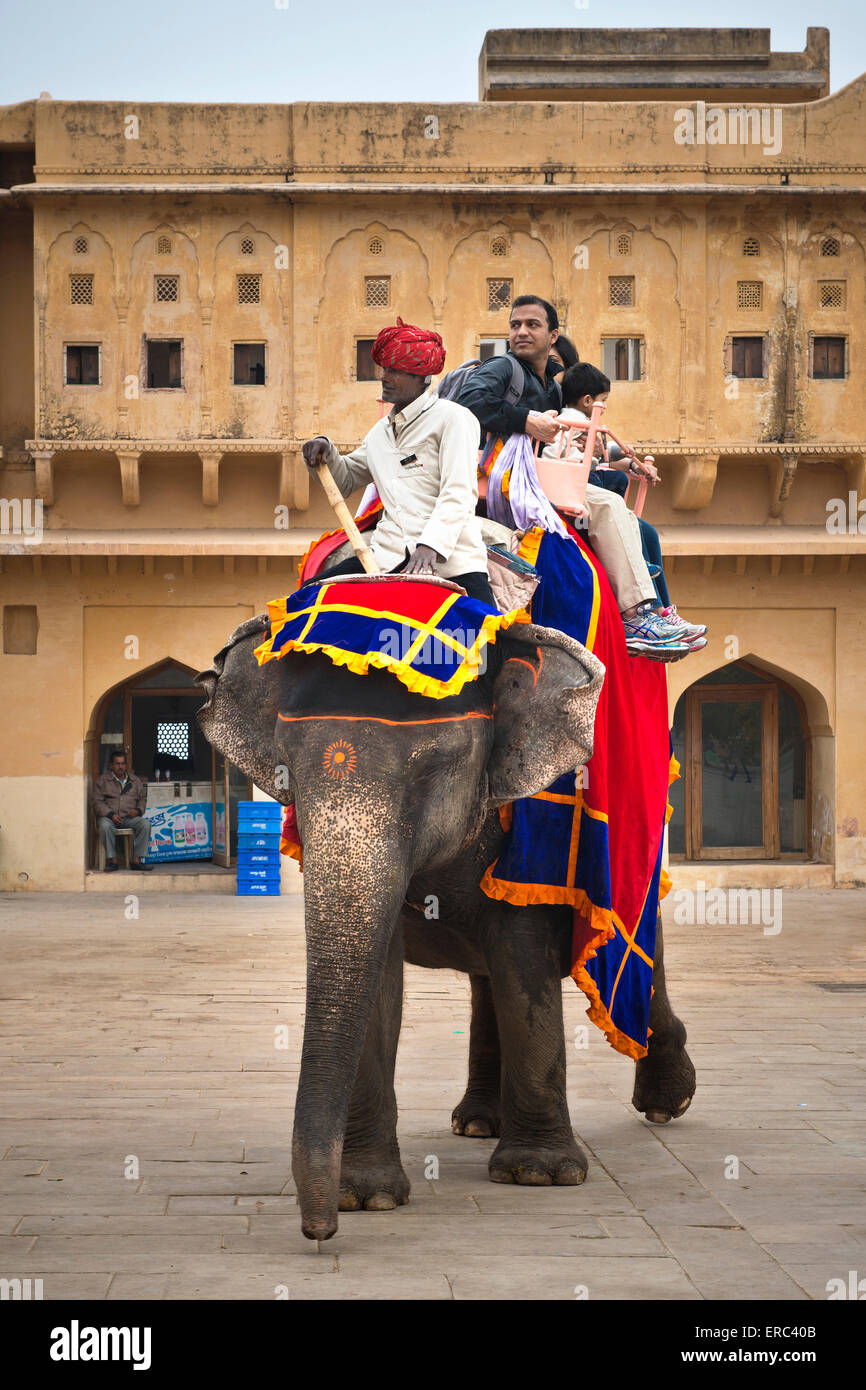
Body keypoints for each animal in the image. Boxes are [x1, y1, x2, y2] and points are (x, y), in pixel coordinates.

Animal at [196, 603, 696, 1242]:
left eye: (433, 771)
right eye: (284, 776)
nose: (318, 1232)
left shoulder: (529, 830)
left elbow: (523, 957)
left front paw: (541, 1175)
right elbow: (380, 976)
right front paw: (367, 1195)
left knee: (628, 955)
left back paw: (664, 1104)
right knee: (489, 982)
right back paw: (478, 1123)